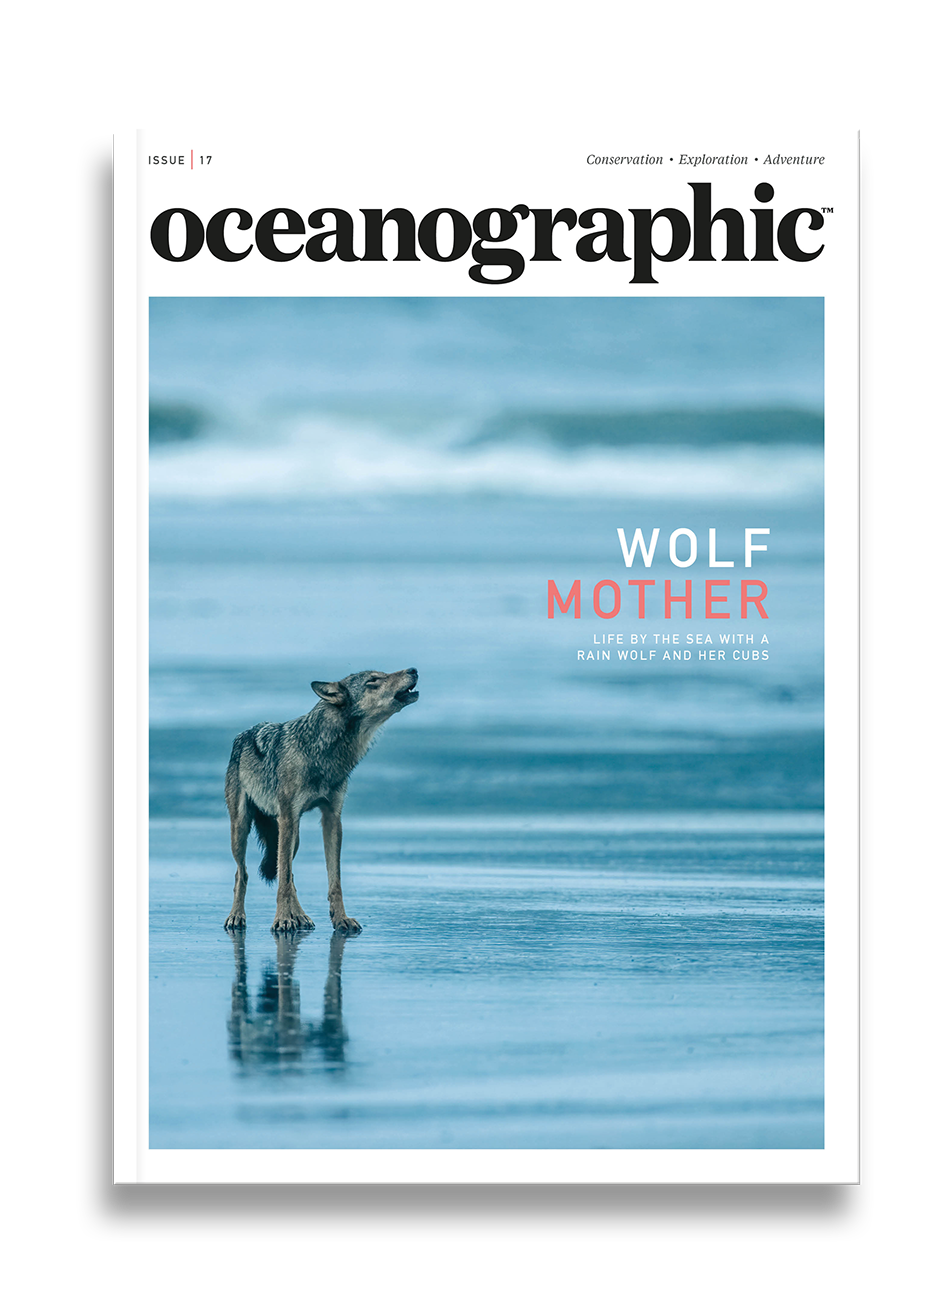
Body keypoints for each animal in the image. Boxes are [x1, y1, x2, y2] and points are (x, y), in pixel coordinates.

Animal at [224, 668, 419, 934]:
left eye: (383, 673)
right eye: (373, 680)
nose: (413, 670)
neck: (322, 752)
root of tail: (242, 735)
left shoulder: (332, 818)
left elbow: (332, 880)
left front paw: (340, 919)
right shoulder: (288, 817)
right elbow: (281, 880)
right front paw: (282, 919)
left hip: (292, 837)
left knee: (289, 873)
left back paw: (300, 916)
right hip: (243, 829)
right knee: (242, 874)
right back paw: (237, 916)